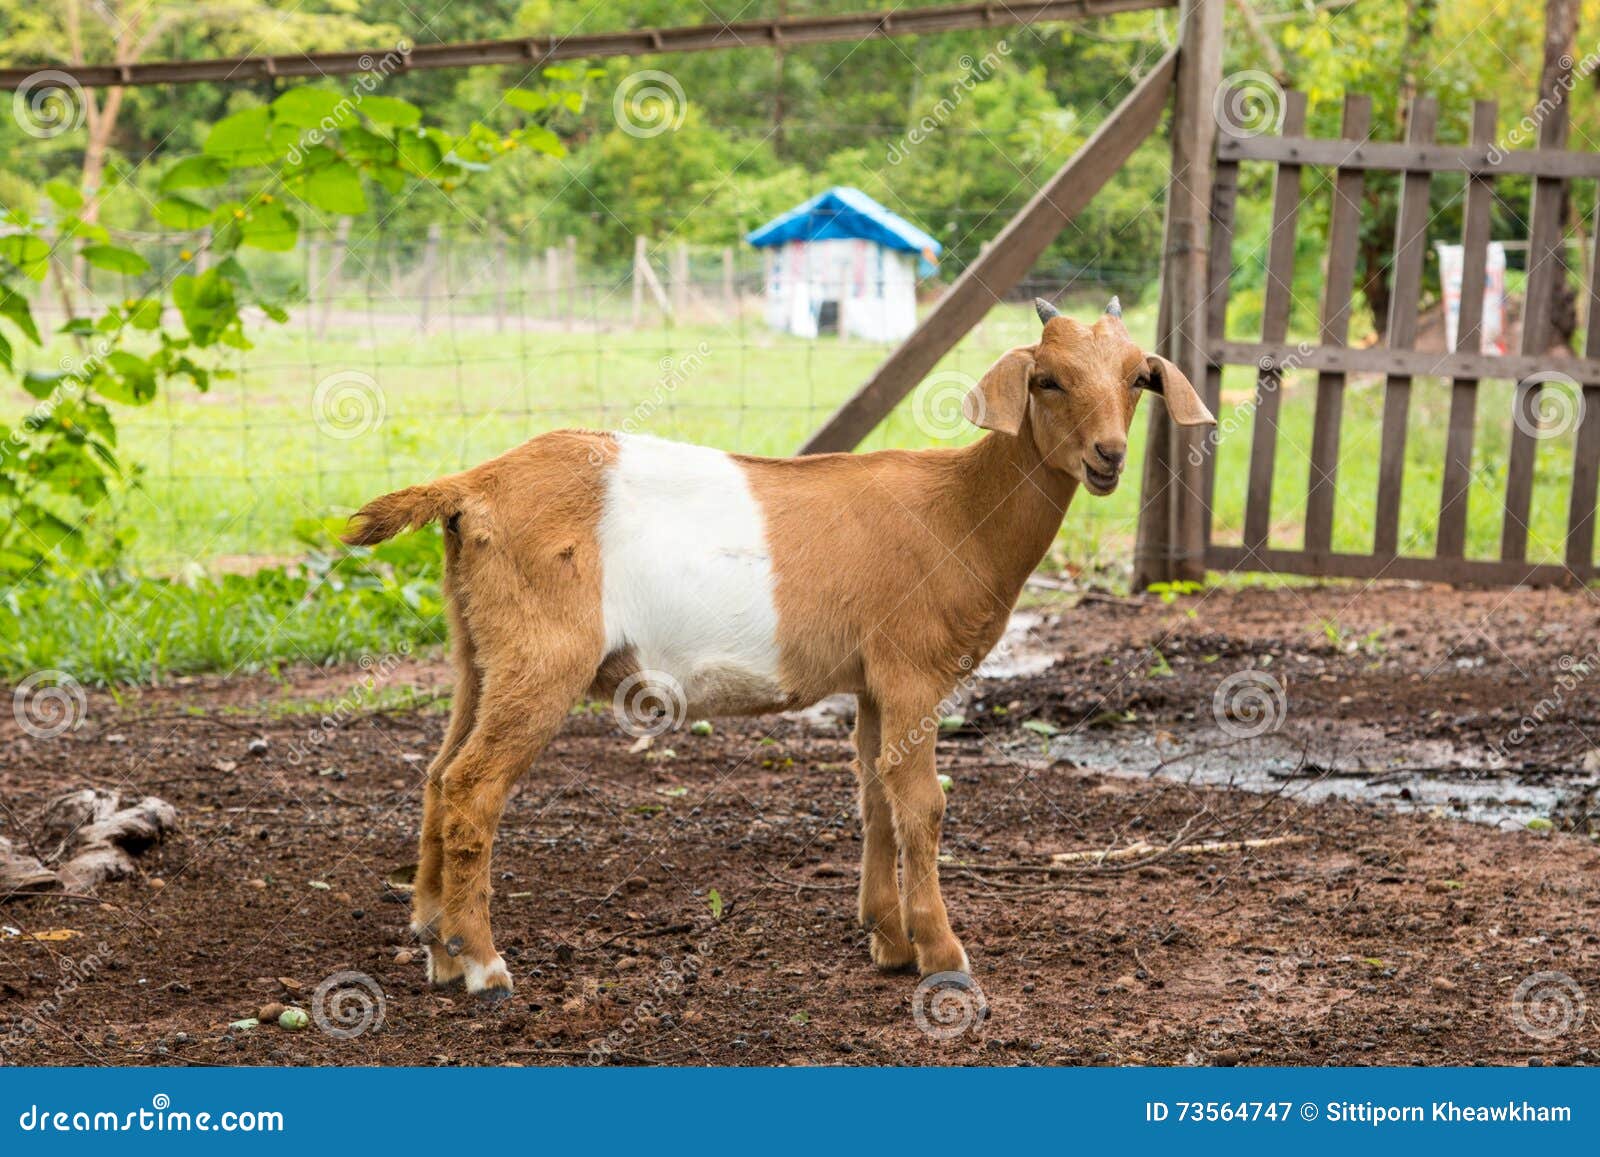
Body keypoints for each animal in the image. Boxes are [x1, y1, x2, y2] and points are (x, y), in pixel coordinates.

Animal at [343, 299, 1215, 999]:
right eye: (1048, 381)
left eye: (1138, 378)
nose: (1108, 456)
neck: (960, 509)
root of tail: (471, 487)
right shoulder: (912, 669)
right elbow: (923, 802)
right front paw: (943, 952)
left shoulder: (871, 679)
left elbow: (873, 793)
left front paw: (888, 939)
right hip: (543, 654)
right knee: (474, 788)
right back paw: (484, 965)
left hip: (478, 649)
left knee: (438, 773)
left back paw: (436, 946)